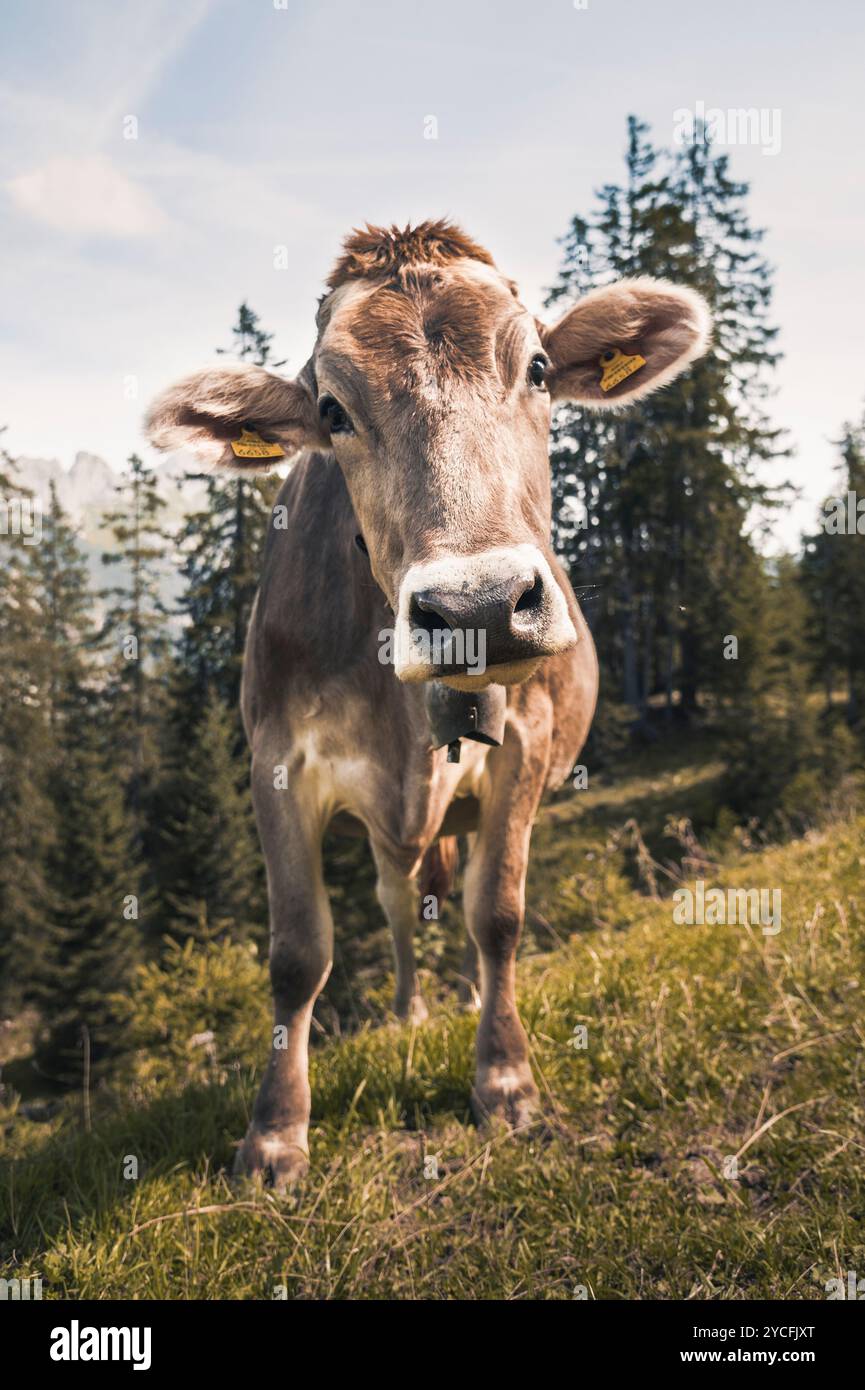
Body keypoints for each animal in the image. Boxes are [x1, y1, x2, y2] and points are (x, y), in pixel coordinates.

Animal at [146, 220, 710, 1188]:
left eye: (535, 368)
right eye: (331, 410)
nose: (479, 606)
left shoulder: (526, 744)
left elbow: (498, 915)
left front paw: (506, 1080)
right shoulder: (277, 764)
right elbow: (298, 953)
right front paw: (274, 1135)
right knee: (399, 899)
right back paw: (411, 1008)